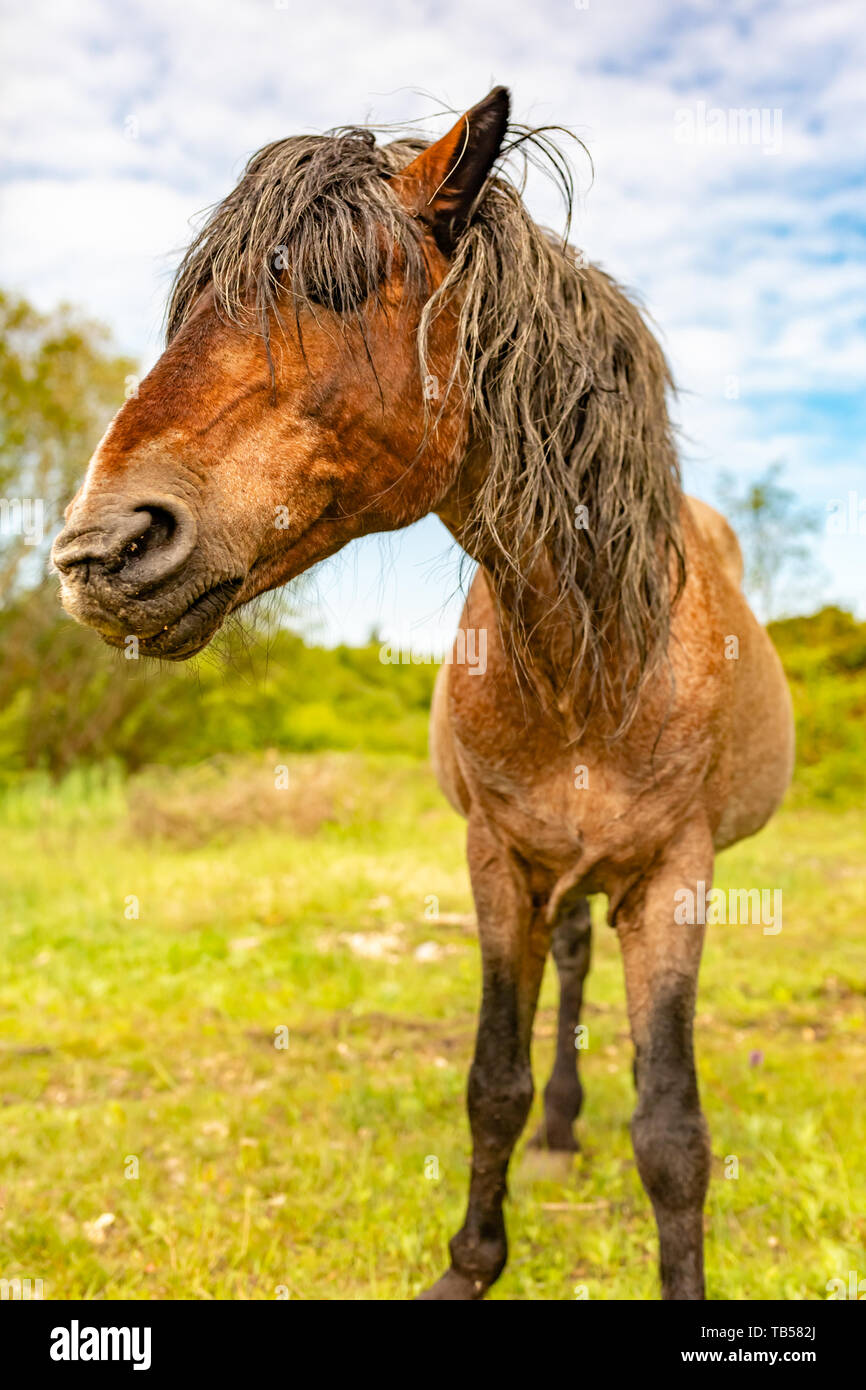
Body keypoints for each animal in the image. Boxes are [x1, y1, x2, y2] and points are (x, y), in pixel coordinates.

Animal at [51, 87, 794, 1300]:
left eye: (341, 286)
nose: (98, 552)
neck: (598, 670)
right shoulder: (496, 860)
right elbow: (492, 1081)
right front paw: (473, 1259)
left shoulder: (674, 876)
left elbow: (672, 1133)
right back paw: (561, 1131)